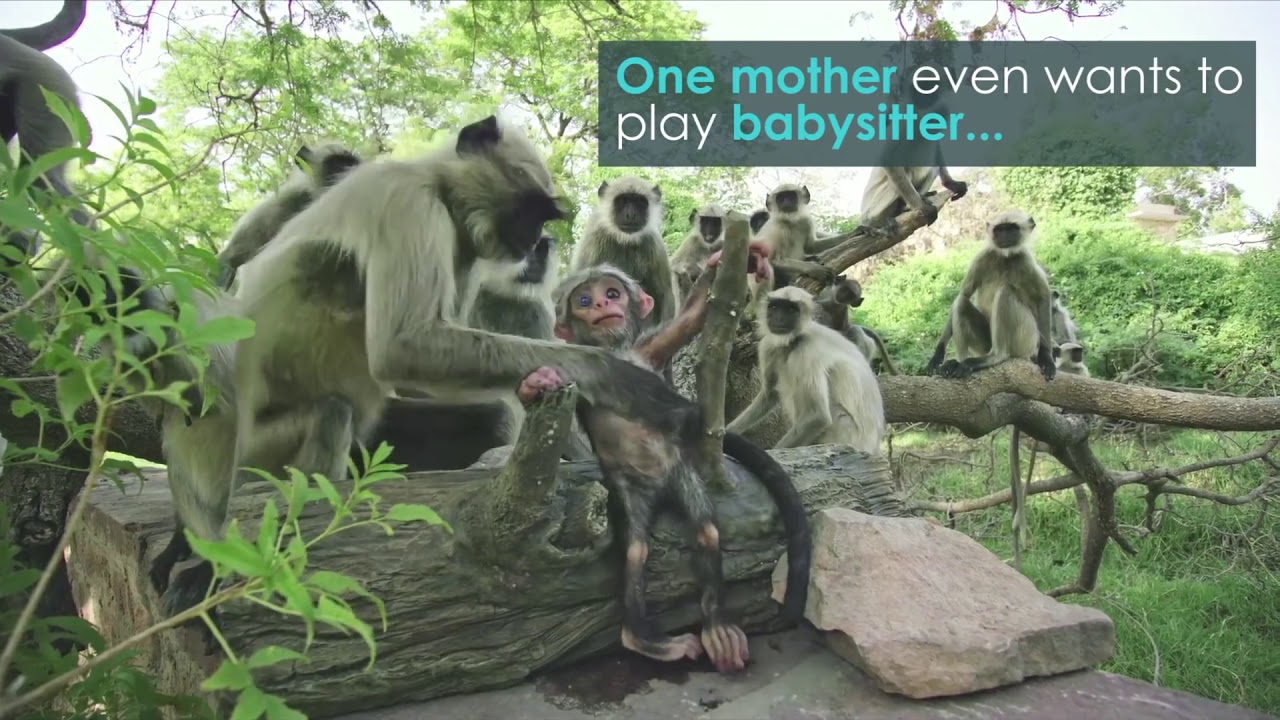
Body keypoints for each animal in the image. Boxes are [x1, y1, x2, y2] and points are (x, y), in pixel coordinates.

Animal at [521, 248, 809, 674]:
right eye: (584, 300)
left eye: (612, 293)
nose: (603, 305)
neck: (617, 352)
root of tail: (658, 490)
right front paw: (536, 382)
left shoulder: (648, 350)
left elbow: (687, 324)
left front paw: (728, 262)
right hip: (630, 491)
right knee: (635, 551)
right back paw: (643, 638)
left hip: (680, 474)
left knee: (706, 529)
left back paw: (717, 628)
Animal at [728, 285, 886, 453]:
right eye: (775, 307)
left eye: (791, 309)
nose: (779, 318)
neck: (794, 340)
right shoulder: (768, 346)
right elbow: (769, 394)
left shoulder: (807, 351)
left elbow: (818, 417)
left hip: (846, 433)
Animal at [924, 210, 1057, 382]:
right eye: (999, 229)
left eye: (1011, 229)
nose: (1005, 237)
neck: (1005, 258)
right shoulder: (982, 257)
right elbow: (964, 294)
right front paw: (937, 356)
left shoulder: (1026, 259)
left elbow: (1043, 297)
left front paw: (1046, 358)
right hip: (986, 344)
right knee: (961, 303)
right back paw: (958, 363)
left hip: (1027, 339)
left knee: (1006, 292)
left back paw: (995, 357)